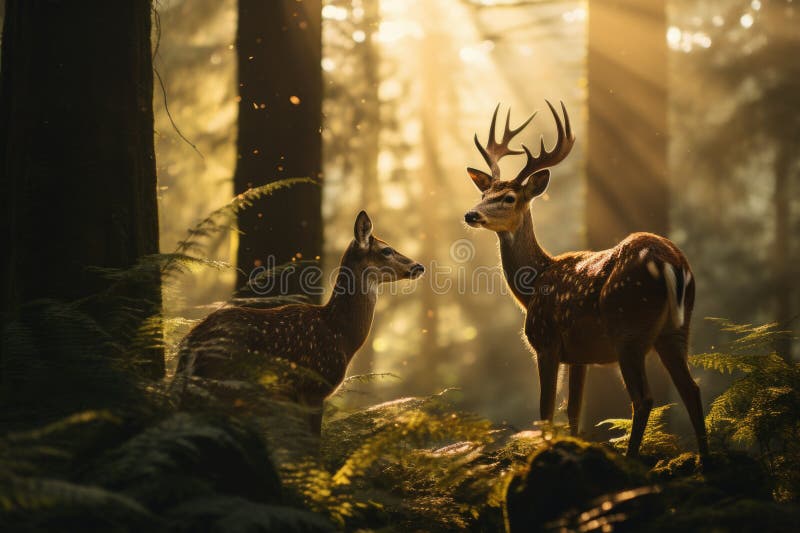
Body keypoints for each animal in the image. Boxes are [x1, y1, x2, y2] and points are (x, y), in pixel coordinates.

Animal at [463, 101, 708, 458]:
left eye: (509, 197)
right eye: (484, 192)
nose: (471, 214)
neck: (532, 286)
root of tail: (669, 262)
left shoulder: (546, 341)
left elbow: (546, 410)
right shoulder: (580, 356)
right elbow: (574, 412)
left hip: (627, 325)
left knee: (643, 399)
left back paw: (631, 459)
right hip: (677, 328)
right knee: (691, 389)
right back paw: (706, 461)